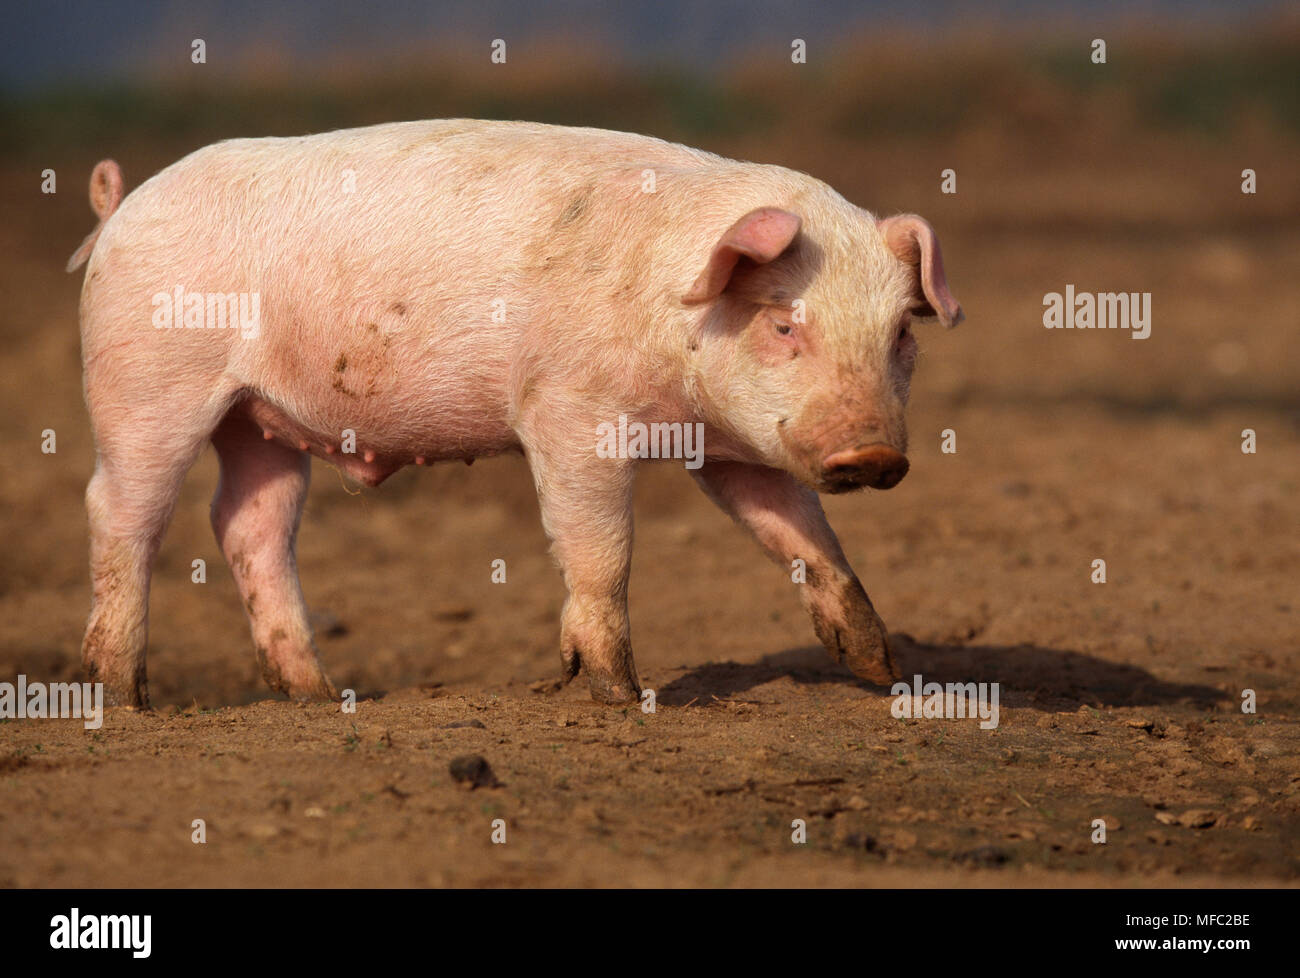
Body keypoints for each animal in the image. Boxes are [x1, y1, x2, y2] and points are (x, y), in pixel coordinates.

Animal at [68, 119, 963, 708]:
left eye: (901, 333)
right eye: (782, 323)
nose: (871, 456)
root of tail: (119, 208)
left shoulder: (730, 448)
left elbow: (805, 537)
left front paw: (881, 673)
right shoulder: (568, 411)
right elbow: (603, 549)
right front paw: (617, 694)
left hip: (259, 420)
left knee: (249, 522)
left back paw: (318, 696)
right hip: (148, 381)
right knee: (120, 510)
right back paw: (125, 696)